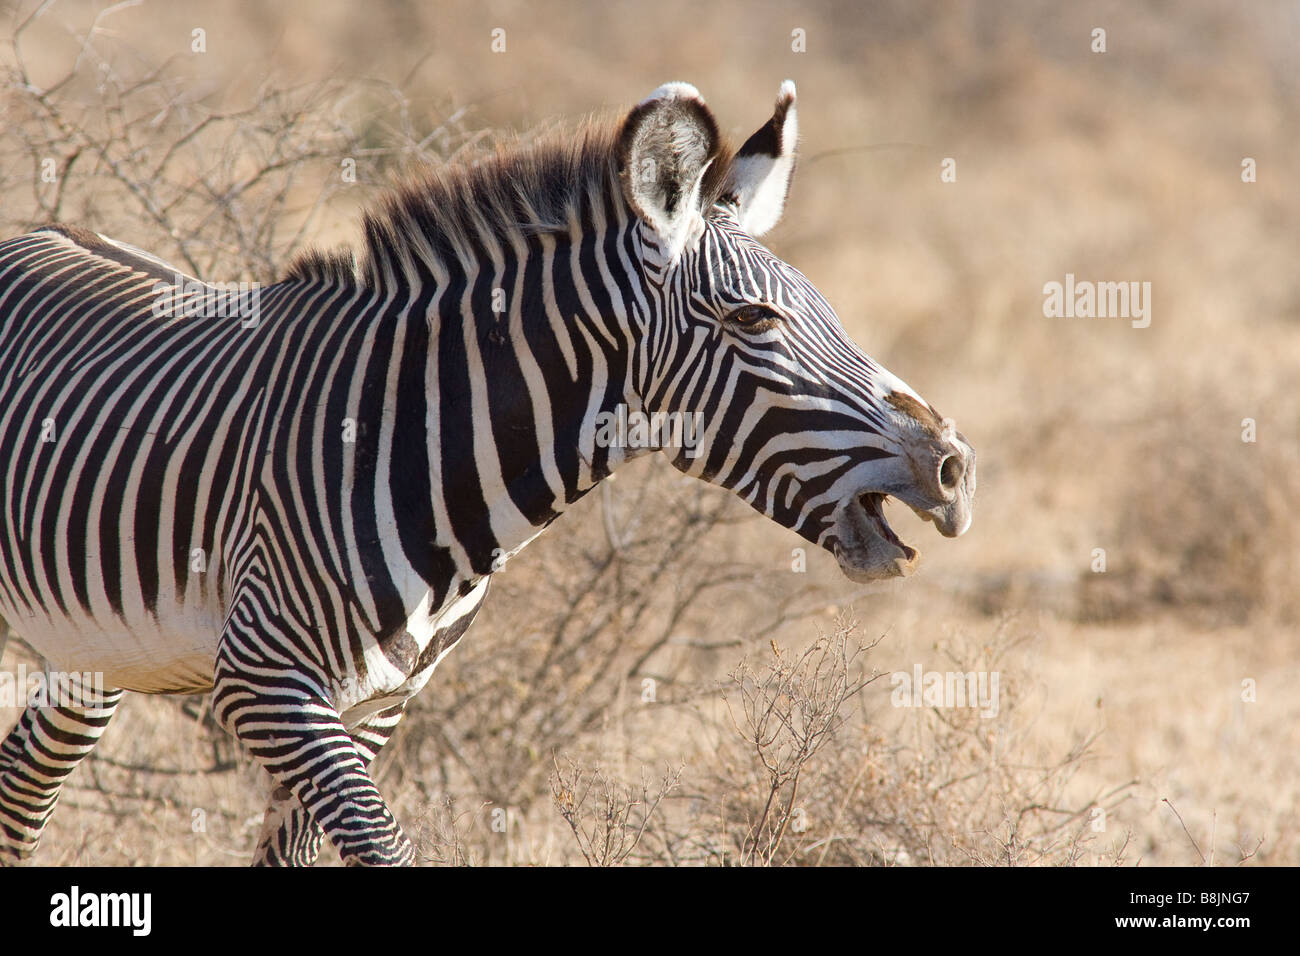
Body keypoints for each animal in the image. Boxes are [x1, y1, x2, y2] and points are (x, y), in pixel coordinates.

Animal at [0, 80, 975, 866]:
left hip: (94, 650)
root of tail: (33, 232)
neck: (416, 446)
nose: (954, 467)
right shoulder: (265, 677)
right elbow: (386, 849)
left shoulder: (376, 708)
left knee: (24, 777)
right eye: (754, 320)